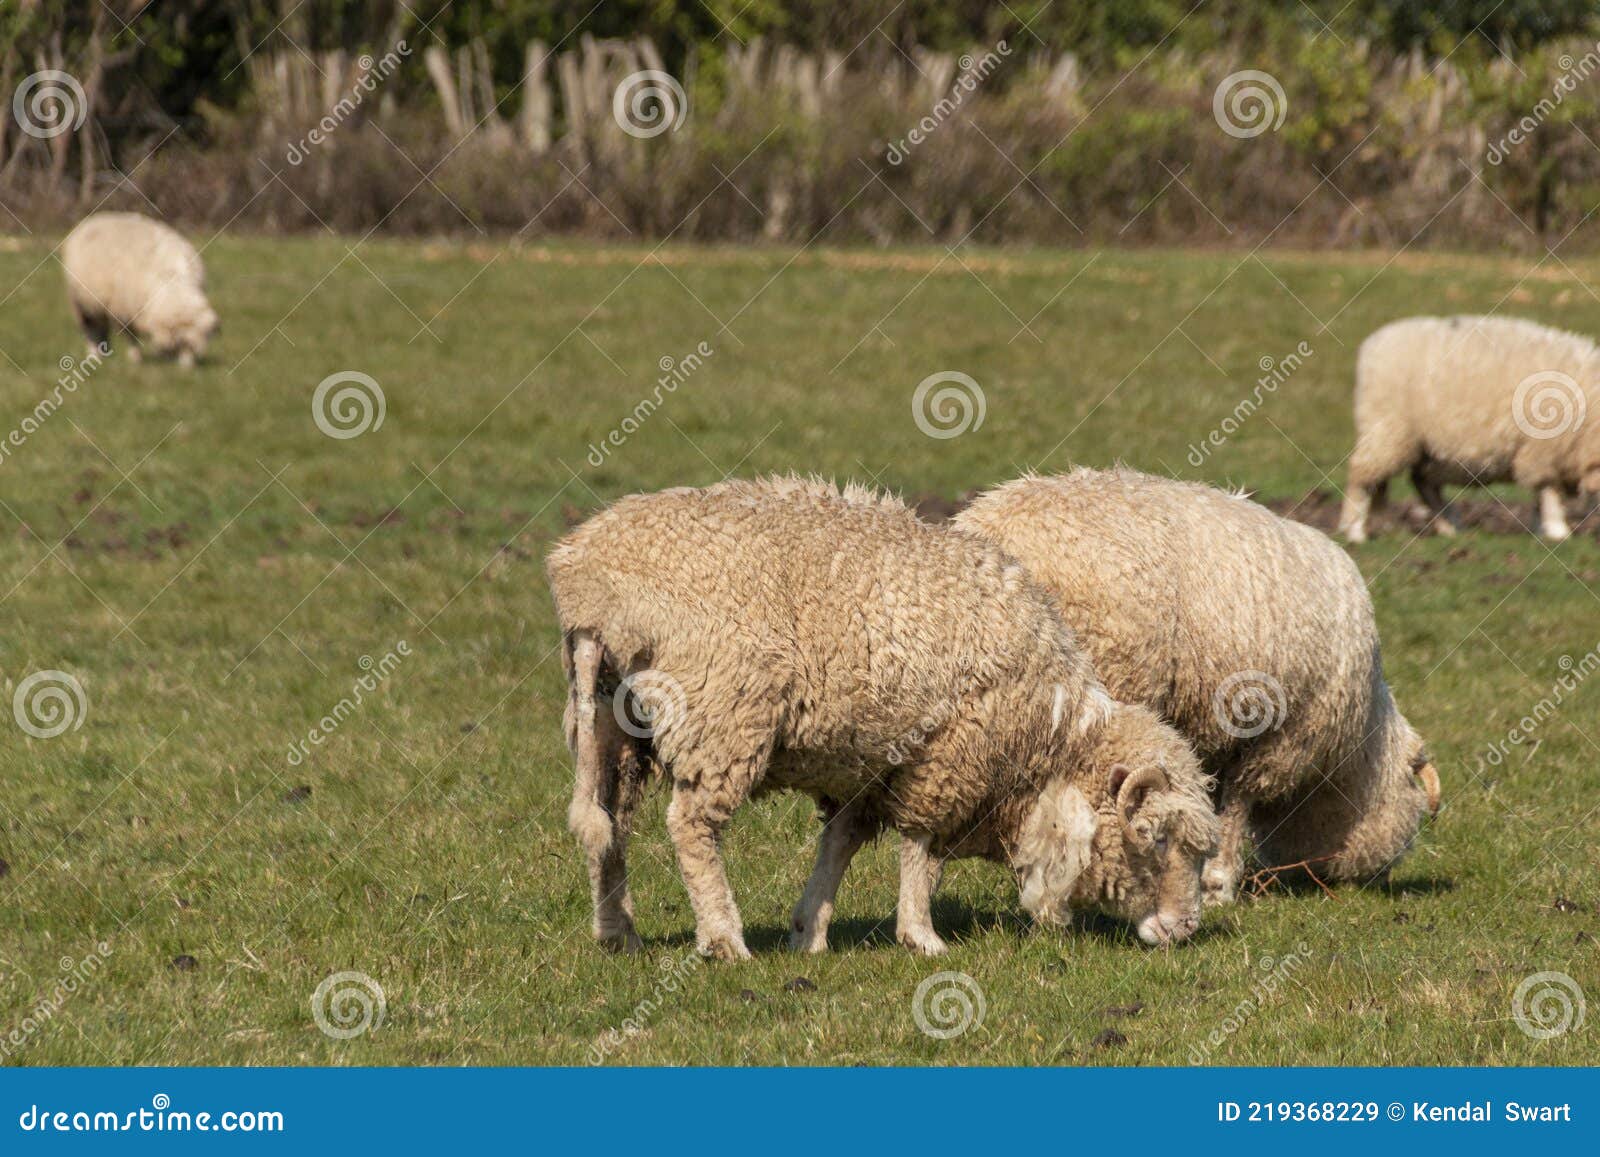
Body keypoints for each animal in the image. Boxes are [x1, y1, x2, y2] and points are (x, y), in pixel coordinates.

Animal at [60, 212, 218, 368]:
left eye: (191, 349)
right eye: (180, 344)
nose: (186, 369)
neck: (173, 281)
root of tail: (96, 217)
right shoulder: (124, 310)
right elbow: (131, 337)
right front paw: (135, 359)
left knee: (102, 329)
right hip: (82, 304)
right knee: (91, 329)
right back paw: (93, 354)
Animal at [547, 476, 1221, 960]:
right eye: (1156, 839)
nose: (1185, 929)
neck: (1046, 738)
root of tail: (587, 584)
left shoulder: (869, 769)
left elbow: (840, 844)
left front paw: (809, 931)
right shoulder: (951, 758)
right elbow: (924, 851)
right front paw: (920, 936)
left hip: (611, 724)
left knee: (608, 825)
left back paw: (617, 932)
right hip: (723, 711)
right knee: (691, 827)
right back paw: (723, 939)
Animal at [953, 468, 1440, 907]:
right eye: (1411, 805)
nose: (1379, 877)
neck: (1354, 750)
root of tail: (990, 524)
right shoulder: (1277, 740)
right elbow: (1238, 806)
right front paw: (1219, 884)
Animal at [1340, 315, 1600, 543]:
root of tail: (1374, 343)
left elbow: (1540, 496)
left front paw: (1541, 529)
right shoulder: (1545, 451)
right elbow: (1550, 492)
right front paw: (1557, 531)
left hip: (1430, 449)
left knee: (1423, 482)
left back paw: (1450, 524)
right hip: (1386, 430)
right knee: (1361, 477)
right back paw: (1354, 531)